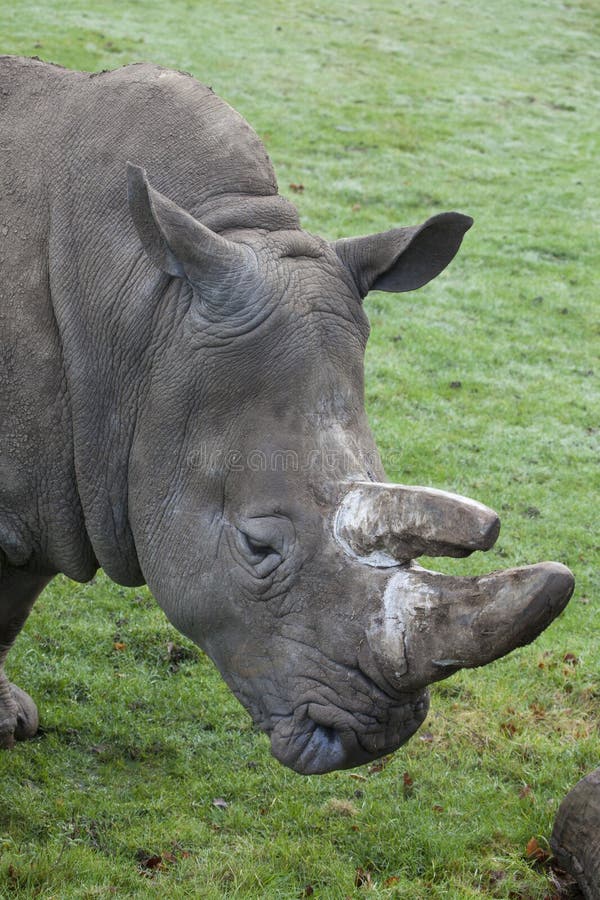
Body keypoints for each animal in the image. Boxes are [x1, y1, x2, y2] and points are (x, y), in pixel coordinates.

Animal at [0, 56, 574, 774]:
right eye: (258, 545)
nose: (372, 740)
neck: (145, 319)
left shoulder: (58, 483)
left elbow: (10, 606)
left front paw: (8, 722)